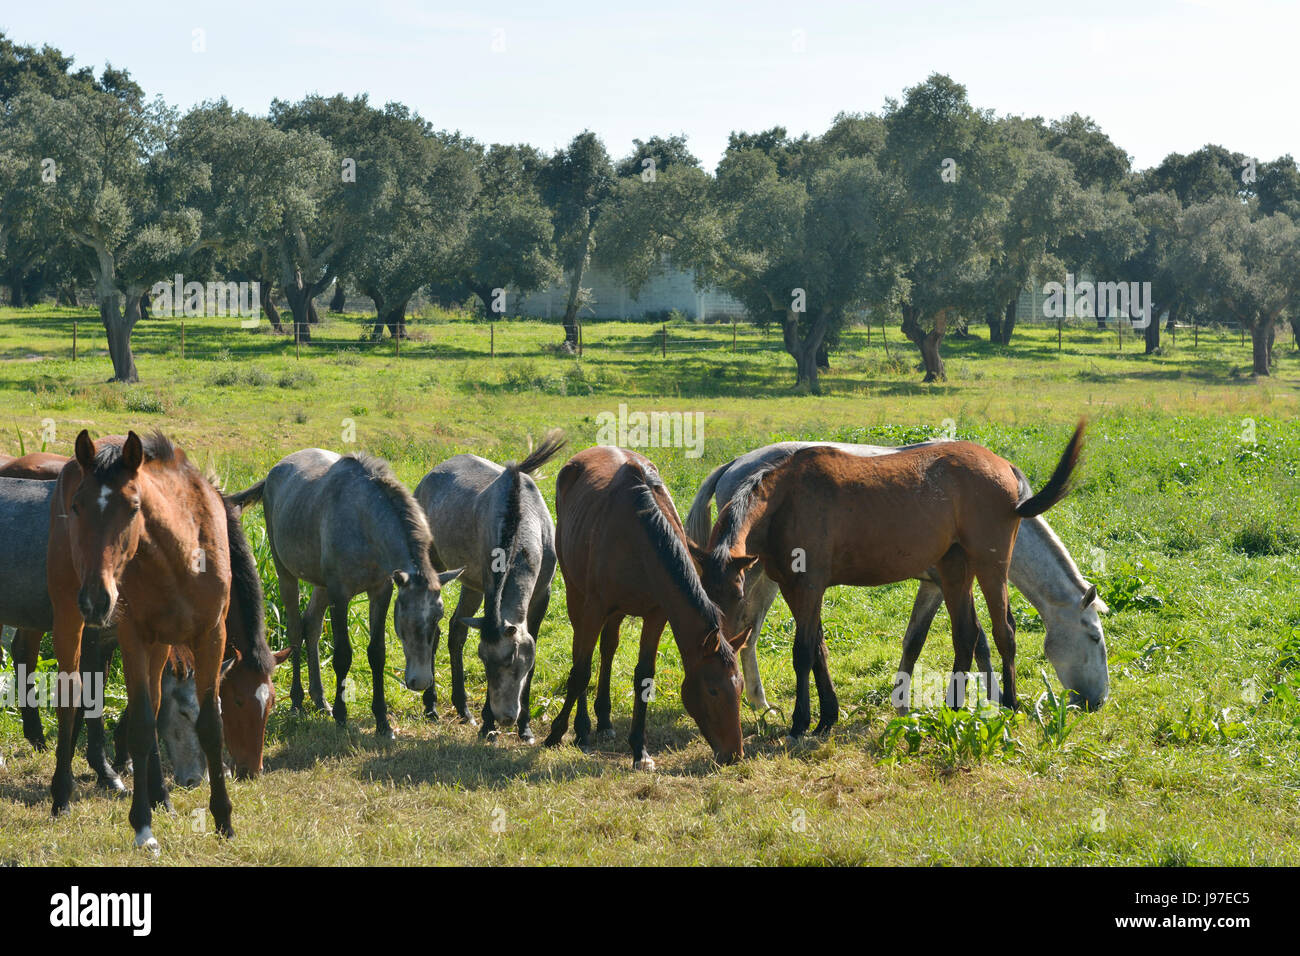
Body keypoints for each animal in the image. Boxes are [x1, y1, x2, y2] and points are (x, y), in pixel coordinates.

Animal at [48, 430, 238, 851]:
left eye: (134, 507)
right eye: (77, 505)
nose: (96, 599)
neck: (182, 556)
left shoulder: (211, 635)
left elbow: (210, 726)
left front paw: (224, 820)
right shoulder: (131, 635)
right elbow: (138, 724)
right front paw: (142, 827)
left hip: (161, 644)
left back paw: (160, 797)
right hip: (69, 614)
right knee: (70, 698)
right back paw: (61, 798)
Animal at [228, 450, 461, 738]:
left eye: (438, 618)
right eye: (405, 621)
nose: (421, 681)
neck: (364, 521)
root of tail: (274, 471)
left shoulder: (380, 592)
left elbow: (377, 653)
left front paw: (382, 722)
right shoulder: (340, 595)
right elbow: (342, 655)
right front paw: (341, 715)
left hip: (320, 586)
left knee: (312, 626)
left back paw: (319, 699)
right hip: (287, 575)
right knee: (295, 630)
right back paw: (297, 702)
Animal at [414, 431, 565, 742]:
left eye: (514, 660)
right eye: (484, 660)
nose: (505, 717)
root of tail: (430, 475)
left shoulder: (541, 595)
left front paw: (526, 728)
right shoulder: (490, 588)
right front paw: (487, 725)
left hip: (470, 585)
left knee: (456, 629)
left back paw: (463, 709)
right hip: (438, 569)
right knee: (434, 630)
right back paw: (432, 706)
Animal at [544, 446, 749, 768]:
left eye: (740, 688)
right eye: (713, 690)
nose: (734, 754)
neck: (640, 536)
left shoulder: (657, 614)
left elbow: (644, 675)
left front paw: (640, 750)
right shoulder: (594, 607)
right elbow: (581, 671)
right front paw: (557, 733)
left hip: (616, 612)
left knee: (608, 648)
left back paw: (604, 720)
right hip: (576, 594)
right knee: (581, 652)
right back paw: (583, 728)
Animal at [696, 423, 1085, 741]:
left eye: (736, 593)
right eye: (706, 593)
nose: (720, 648)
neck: (786, 501)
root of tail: (1004, 467)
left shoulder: (807, 587)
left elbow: (804, 653)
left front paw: (801, 722)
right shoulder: (798, 590)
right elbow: (819, 650)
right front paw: (827, 717)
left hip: (990, 565)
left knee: (1004, 631)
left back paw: (1008, 706)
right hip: (956, 571)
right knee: (967, 635)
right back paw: (954, 710)